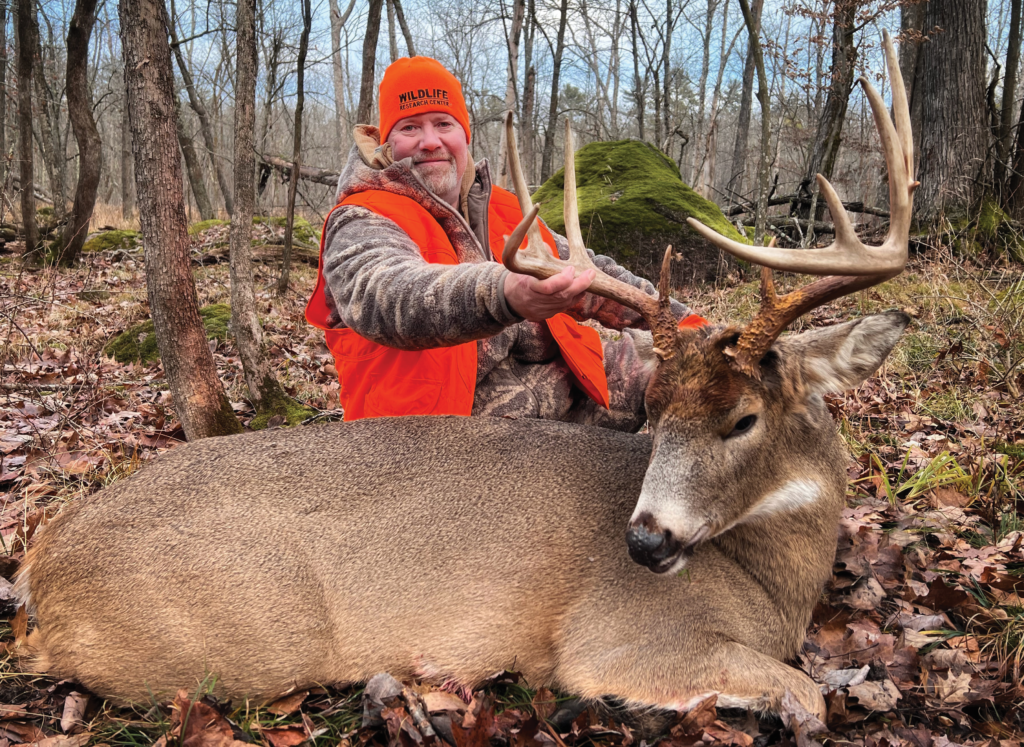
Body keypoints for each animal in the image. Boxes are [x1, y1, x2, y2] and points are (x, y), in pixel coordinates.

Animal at [14, 32, 914, 726]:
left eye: (742, 417)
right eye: (660, 412)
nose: (644, 540)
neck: (770, 582)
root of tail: (42, 557)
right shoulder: (621, 635)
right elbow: (803, 691)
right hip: (232, 640)